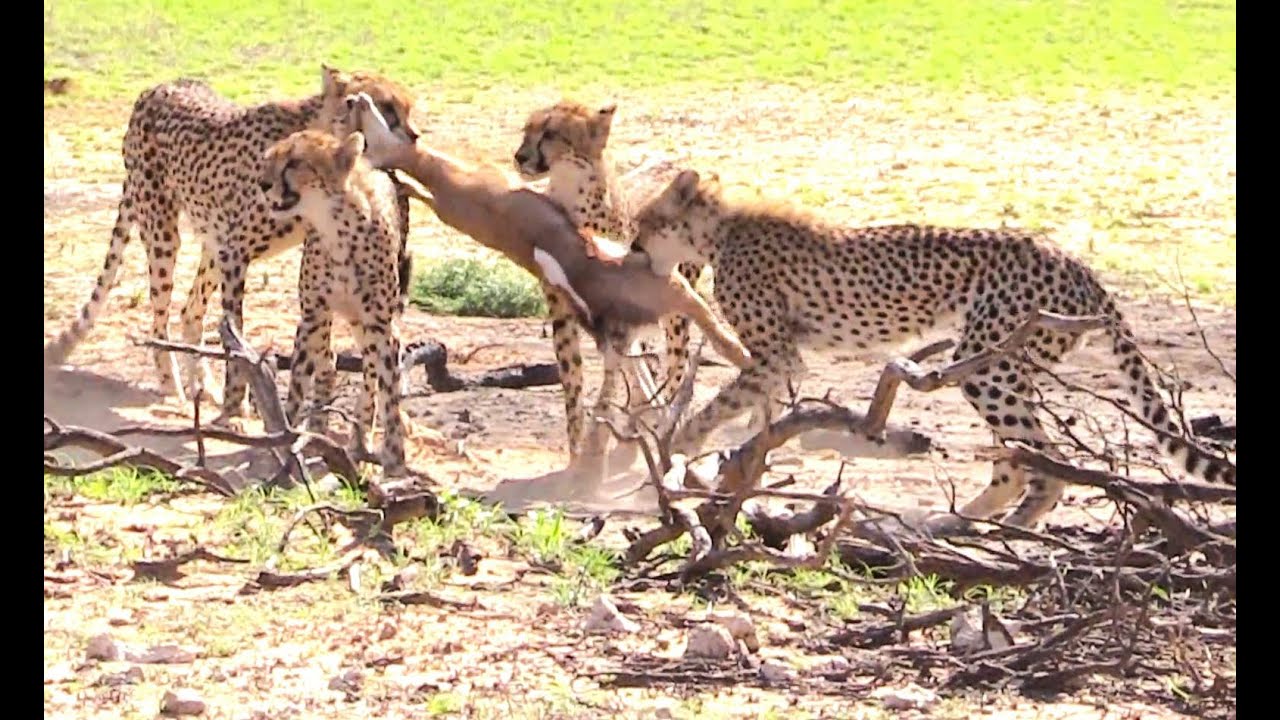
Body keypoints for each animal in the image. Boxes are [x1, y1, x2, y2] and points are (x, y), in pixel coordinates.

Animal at [43, 65, 421, 423]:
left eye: (404, 107)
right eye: (385, 106)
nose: (413, 135)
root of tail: (157, 87)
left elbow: (319, 339)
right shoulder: (236, 252)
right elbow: (235, 332)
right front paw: (236, 404)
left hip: (211, 242)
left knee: (190, 310)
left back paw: (204, 386)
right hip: (162, 228)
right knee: (161, 317)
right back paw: (172, 387)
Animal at [258, 129, 409, 472]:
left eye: (295, 162)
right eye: (271, 157)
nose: (262, 183)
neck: (337, 230)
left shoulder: (380, 325)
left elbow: (388, 389)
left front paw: (394, 457)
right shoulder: (313, 314)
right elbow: (299, 382)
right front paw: (286, 437)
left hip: (367, 327)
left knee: (370, 378)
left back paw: (359, 439)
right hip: (323, 321)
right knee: (328, 361)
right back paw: (317, 427)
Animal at [513, 101, 706, 457]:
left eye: (550, 133)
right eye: (527, 130)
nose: (519, 156)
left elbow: (614, 375)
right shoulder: (563, 307)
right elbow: (573, 380)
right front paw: (577, 449)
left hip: (675, 304)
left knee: (677, 362)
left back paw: (661, 420)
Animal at [632, 168, 1237, 529]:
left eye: (644, 221)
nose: (633, 248)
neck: (721, 230)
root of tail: (1073, 258)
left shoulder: (776, 354)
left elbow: (722, 404)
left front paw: (681, 445)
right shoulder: (777, 359)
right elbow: (763, 418)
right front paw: (740, 481)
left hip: (990, 368)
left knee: (1047, 464)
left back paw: (1004, 530)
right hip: (1004, 367)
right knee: (1018, 462)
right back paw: (958, 522)